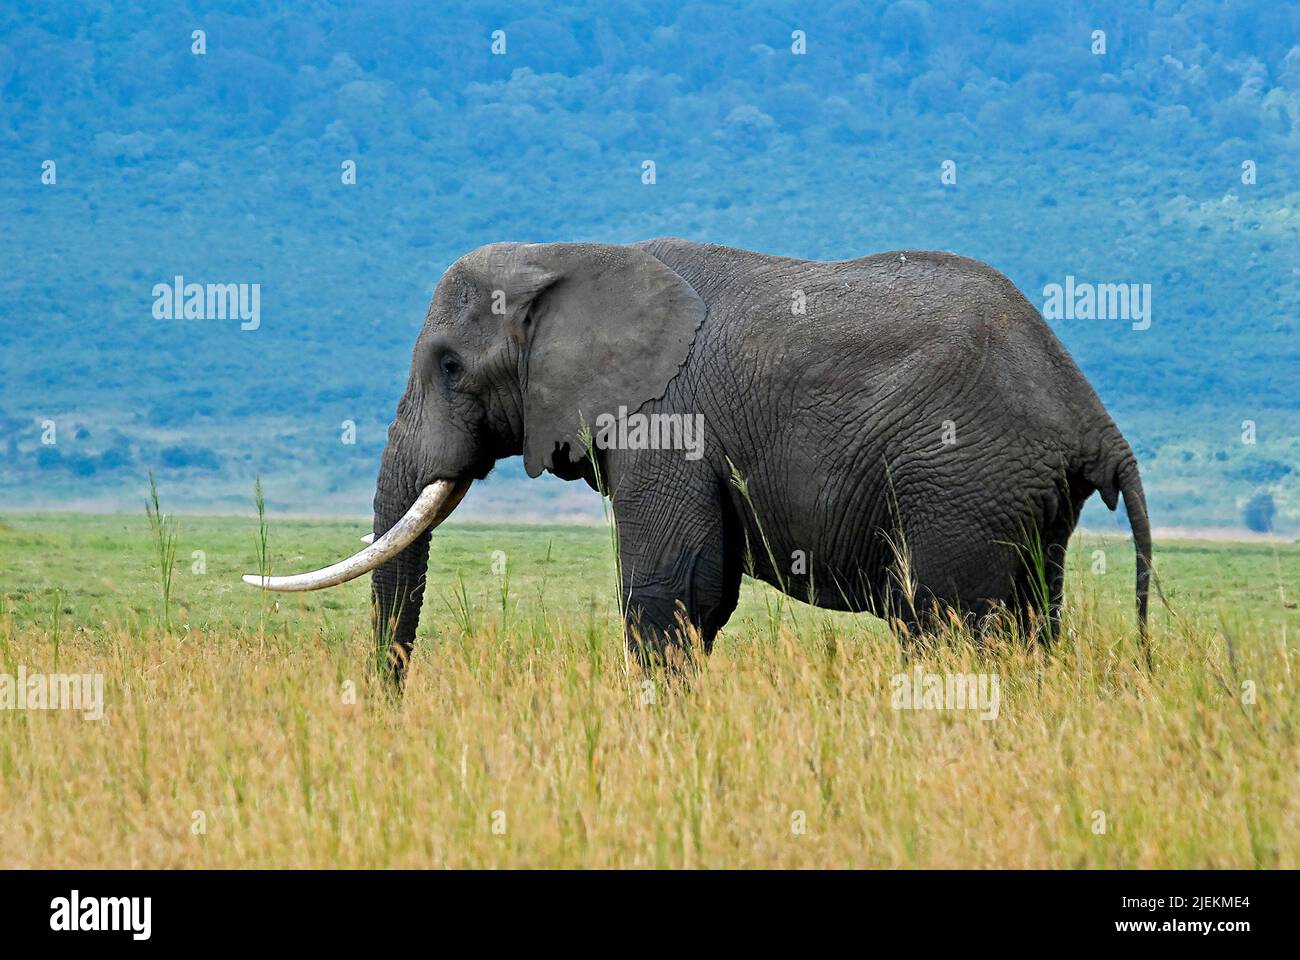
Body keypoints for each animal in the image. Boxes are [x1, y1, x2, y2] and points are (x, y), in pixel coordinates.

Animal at [244, 239, 1152, 674]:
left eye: (449, 368)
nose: (387, 711)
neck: (569, 256)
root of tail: (1093, 421)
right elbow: (699, 597)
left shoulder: (665, 422)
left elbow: (669, 593)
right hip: (1019, 498)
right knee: (1027, 624)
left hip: (962, 481)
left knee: (946, 623)